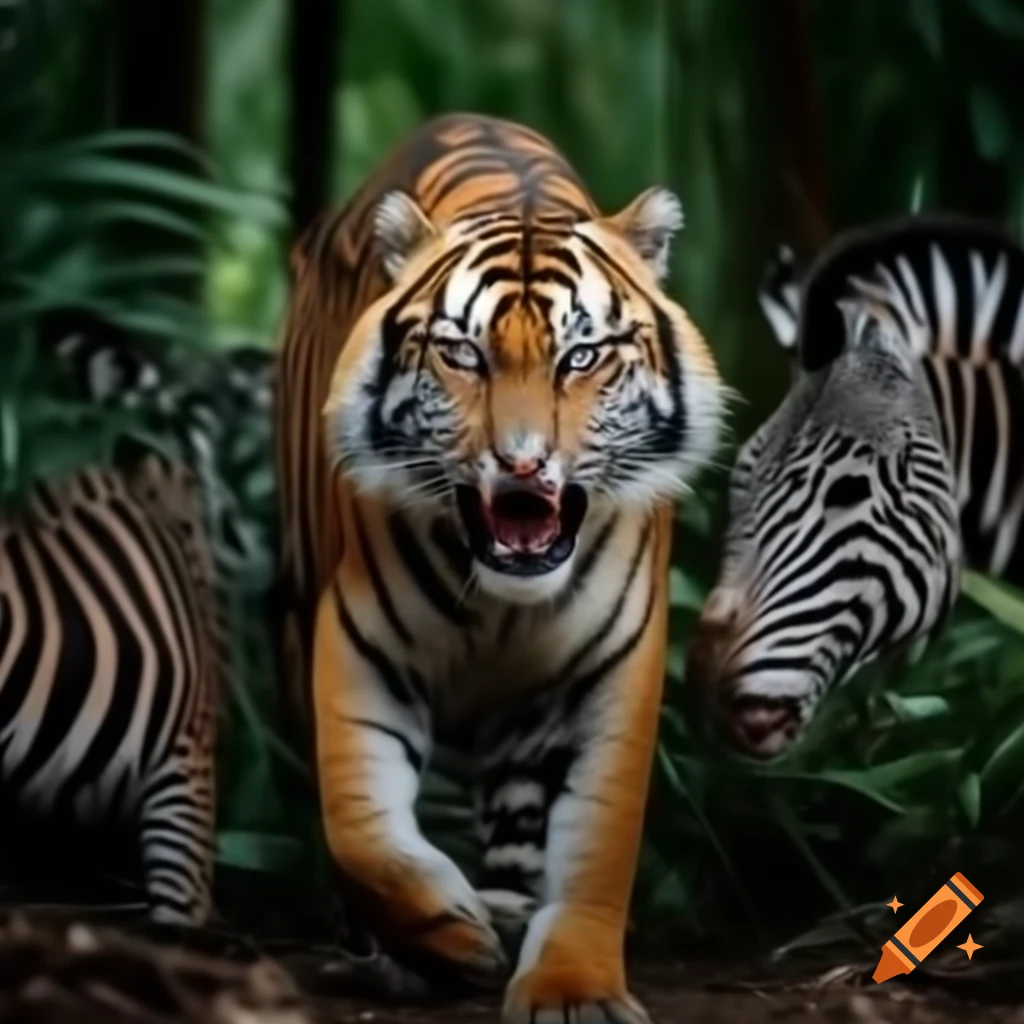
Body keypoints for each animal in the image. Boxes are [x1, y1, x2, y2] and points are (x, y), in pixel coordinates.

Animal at [275, 112, 726, 1023]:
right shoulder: (357, 644)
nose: (522, 465)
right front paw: (449, 935)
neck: (506, 600)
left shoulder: (612, 674)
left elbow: (595, 849)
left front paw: (574, 990)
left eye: (581, 358)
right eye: (463, 355)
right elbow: (362, 827)